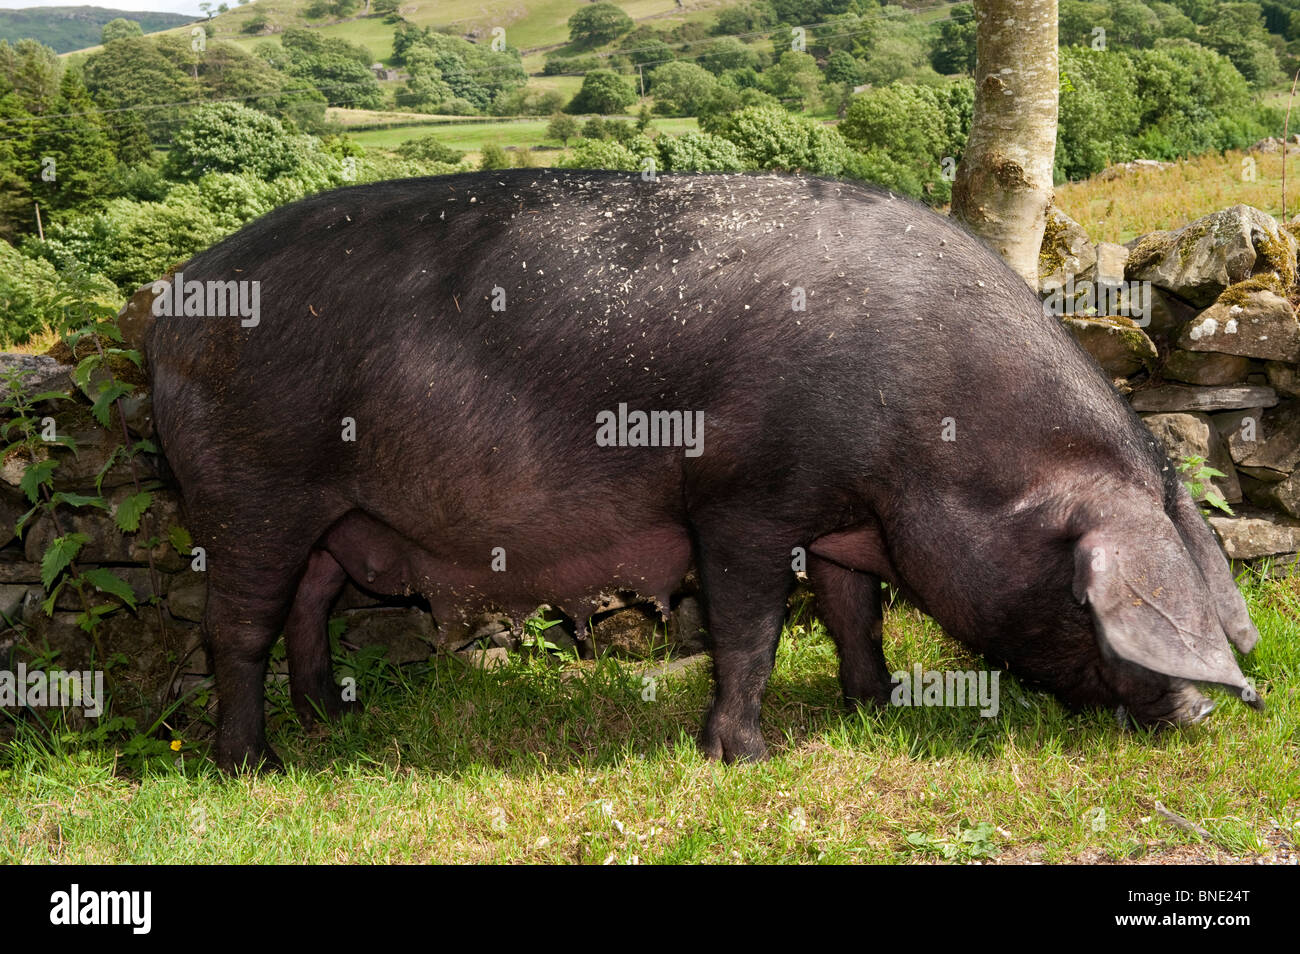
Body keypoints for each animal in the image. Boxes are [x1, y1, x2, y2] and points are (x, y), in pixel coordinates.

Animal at [144, 169, 1263, 771]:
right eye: (1084, 599)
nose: (1202, 712)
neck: (936, 435)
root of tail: (174, 296)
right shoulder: (741, 498)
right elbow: (749, 628)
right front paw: (743, 755)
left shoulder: (840, 514)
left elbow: (853, 608)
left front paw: (874, 705)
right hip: (252, 486)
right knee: (236, 626)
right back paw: (254, 763)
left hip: (332, 515)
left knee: (309, 602)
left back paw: (331, 715)